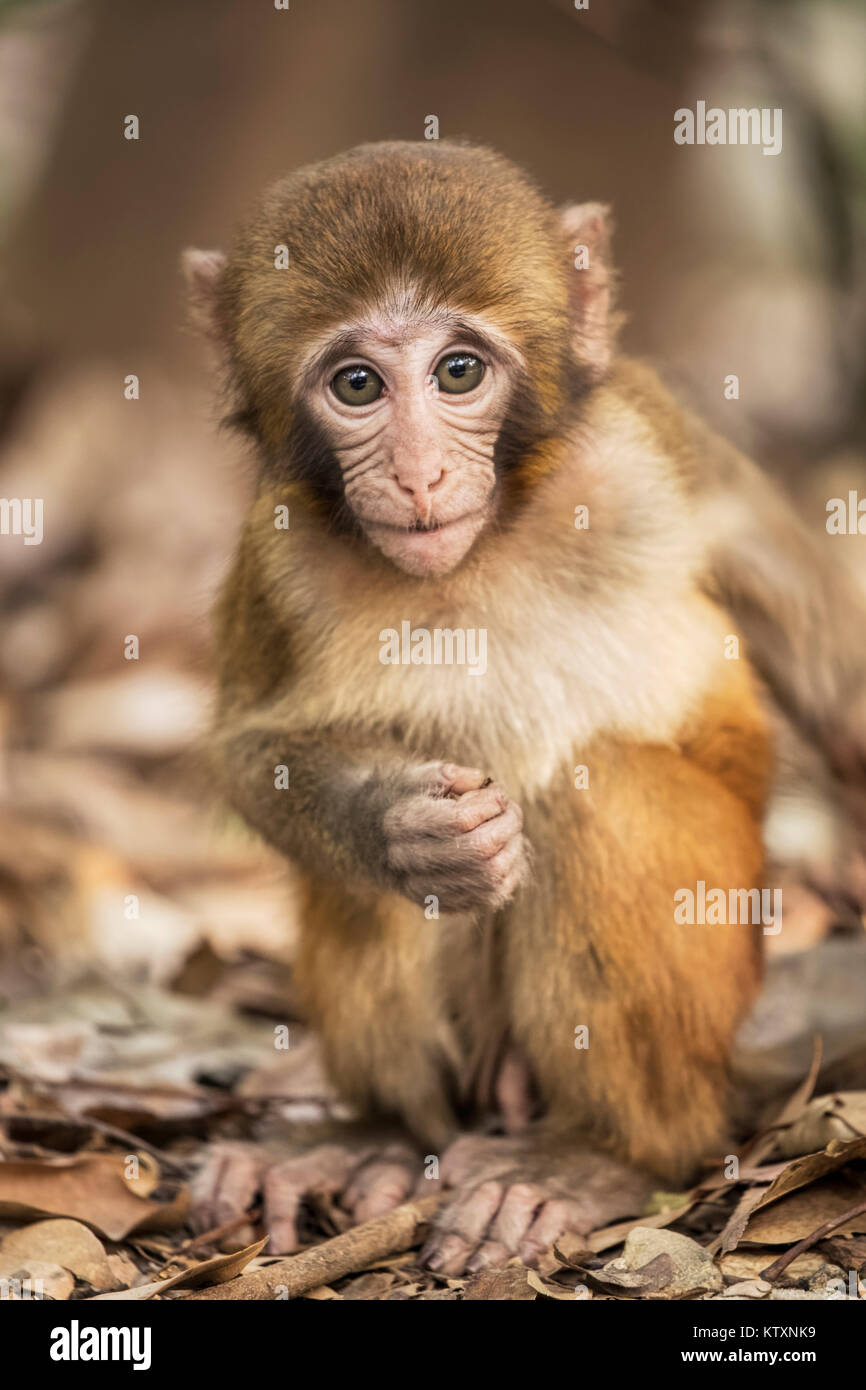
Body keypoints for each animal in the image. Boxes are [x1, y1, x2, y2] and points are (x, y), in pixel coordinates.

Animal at [184, 141, 865, 1274]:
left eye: (459, 372)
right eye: (357, 384)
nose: (417, 473)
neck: (492, 533)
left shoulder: (648, 439)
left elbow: (822, 654)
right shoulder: (276, 550)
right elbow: (253, 749)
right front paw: (412, 831)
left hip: (720, 982)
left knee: (601, 794)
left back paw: (599, 1158)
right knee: (366, 891)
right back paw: (377, 1136)